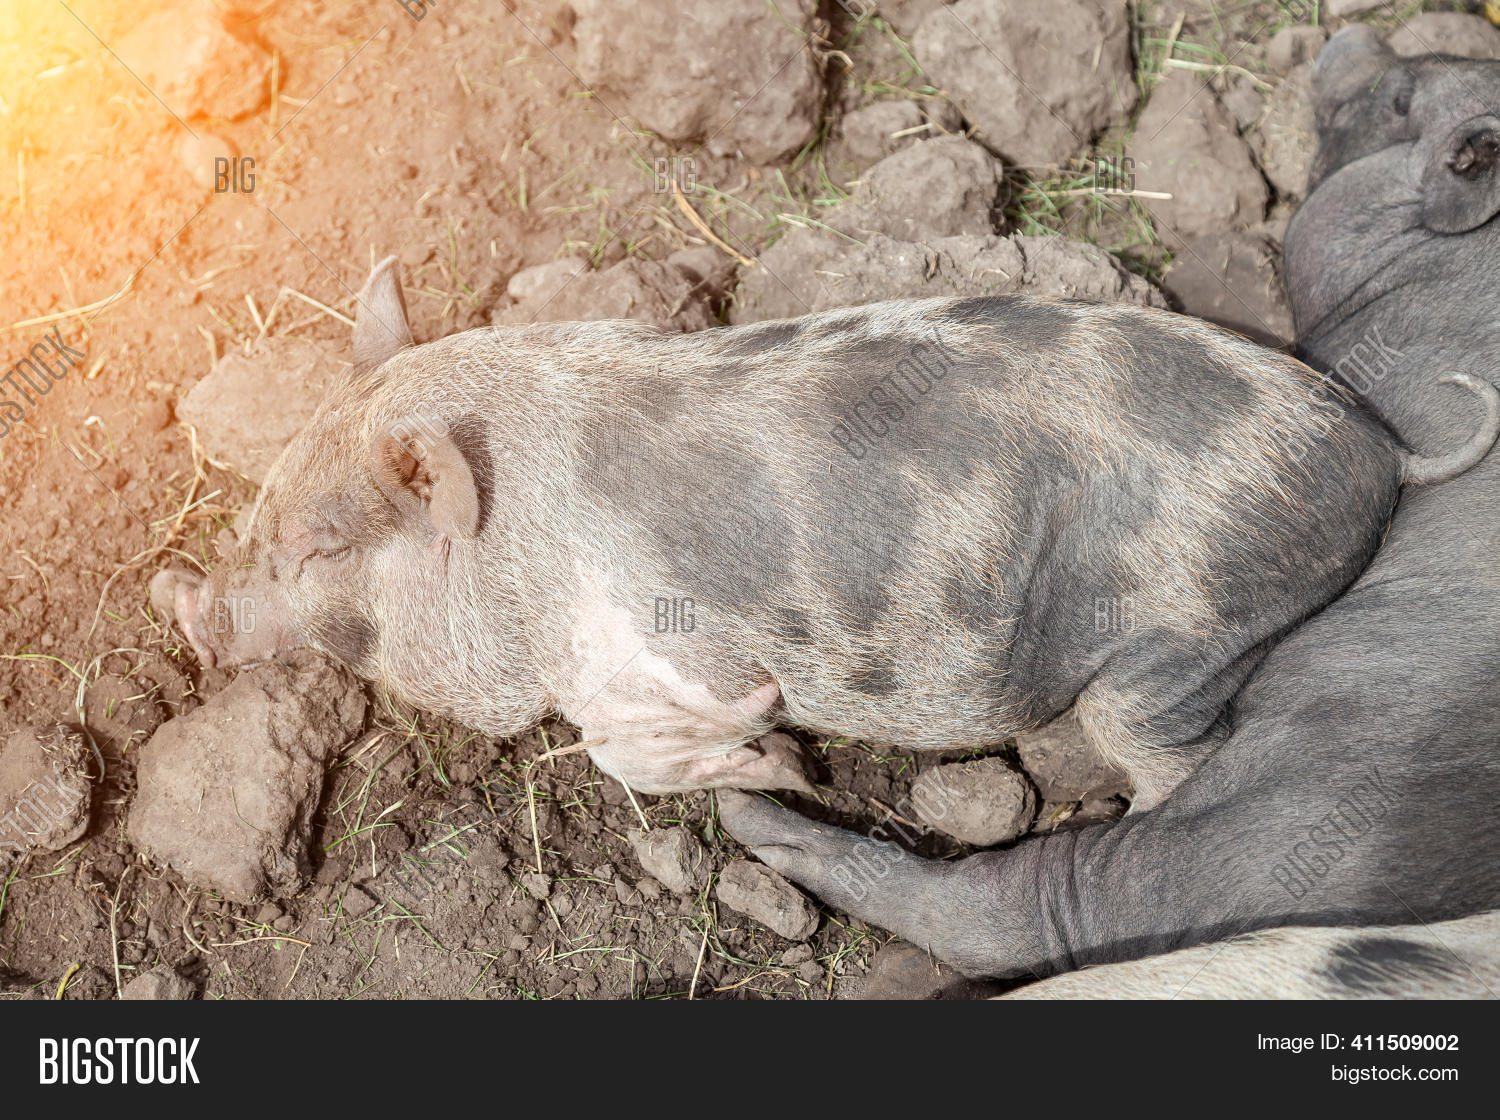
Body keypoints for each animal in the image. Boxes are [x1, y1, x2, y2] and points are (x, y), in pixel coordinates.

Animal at [153, 255, 1496, 815]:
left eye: (319, 547)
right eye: (261, 505)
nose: (185, 605)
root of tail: (1373, 449)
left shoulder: (647, 663)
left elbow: (629, 750)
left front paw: (786, 771)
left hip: (1185, 636)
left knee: (1162, 746)